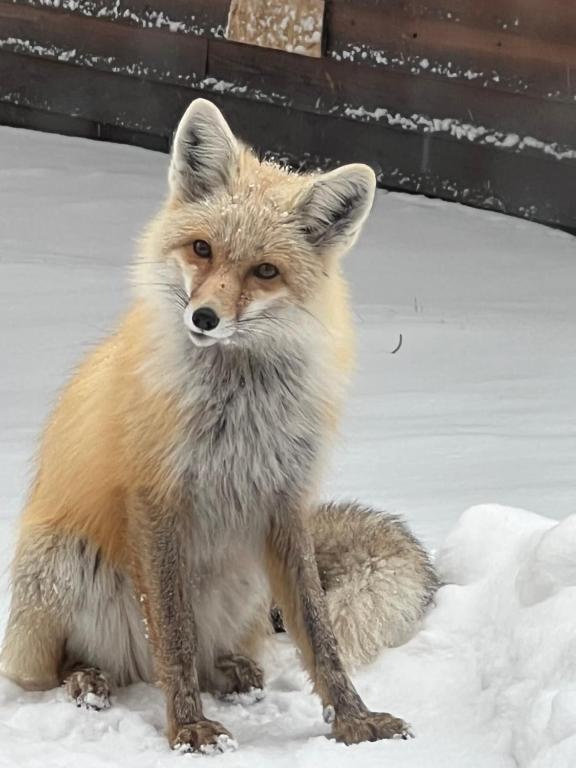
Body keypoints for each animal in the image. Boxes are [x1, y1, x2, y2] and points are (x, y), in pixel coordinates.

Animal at [0, 99, 438, 753]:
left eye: (265, 271)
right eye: (202, 249)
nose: (203, 318)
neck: (237, 411)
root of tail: (132, 667)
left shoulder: (284, 501)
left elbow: (320, 638)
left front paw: (355, 721)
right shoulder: (157, 498)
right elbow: (174, 636)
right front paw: (188, 729)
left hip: (245, 579)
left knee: (214, 652)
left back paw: (235, 671)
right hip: (60, 562)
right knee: (64, 669)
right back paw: (89, 679)